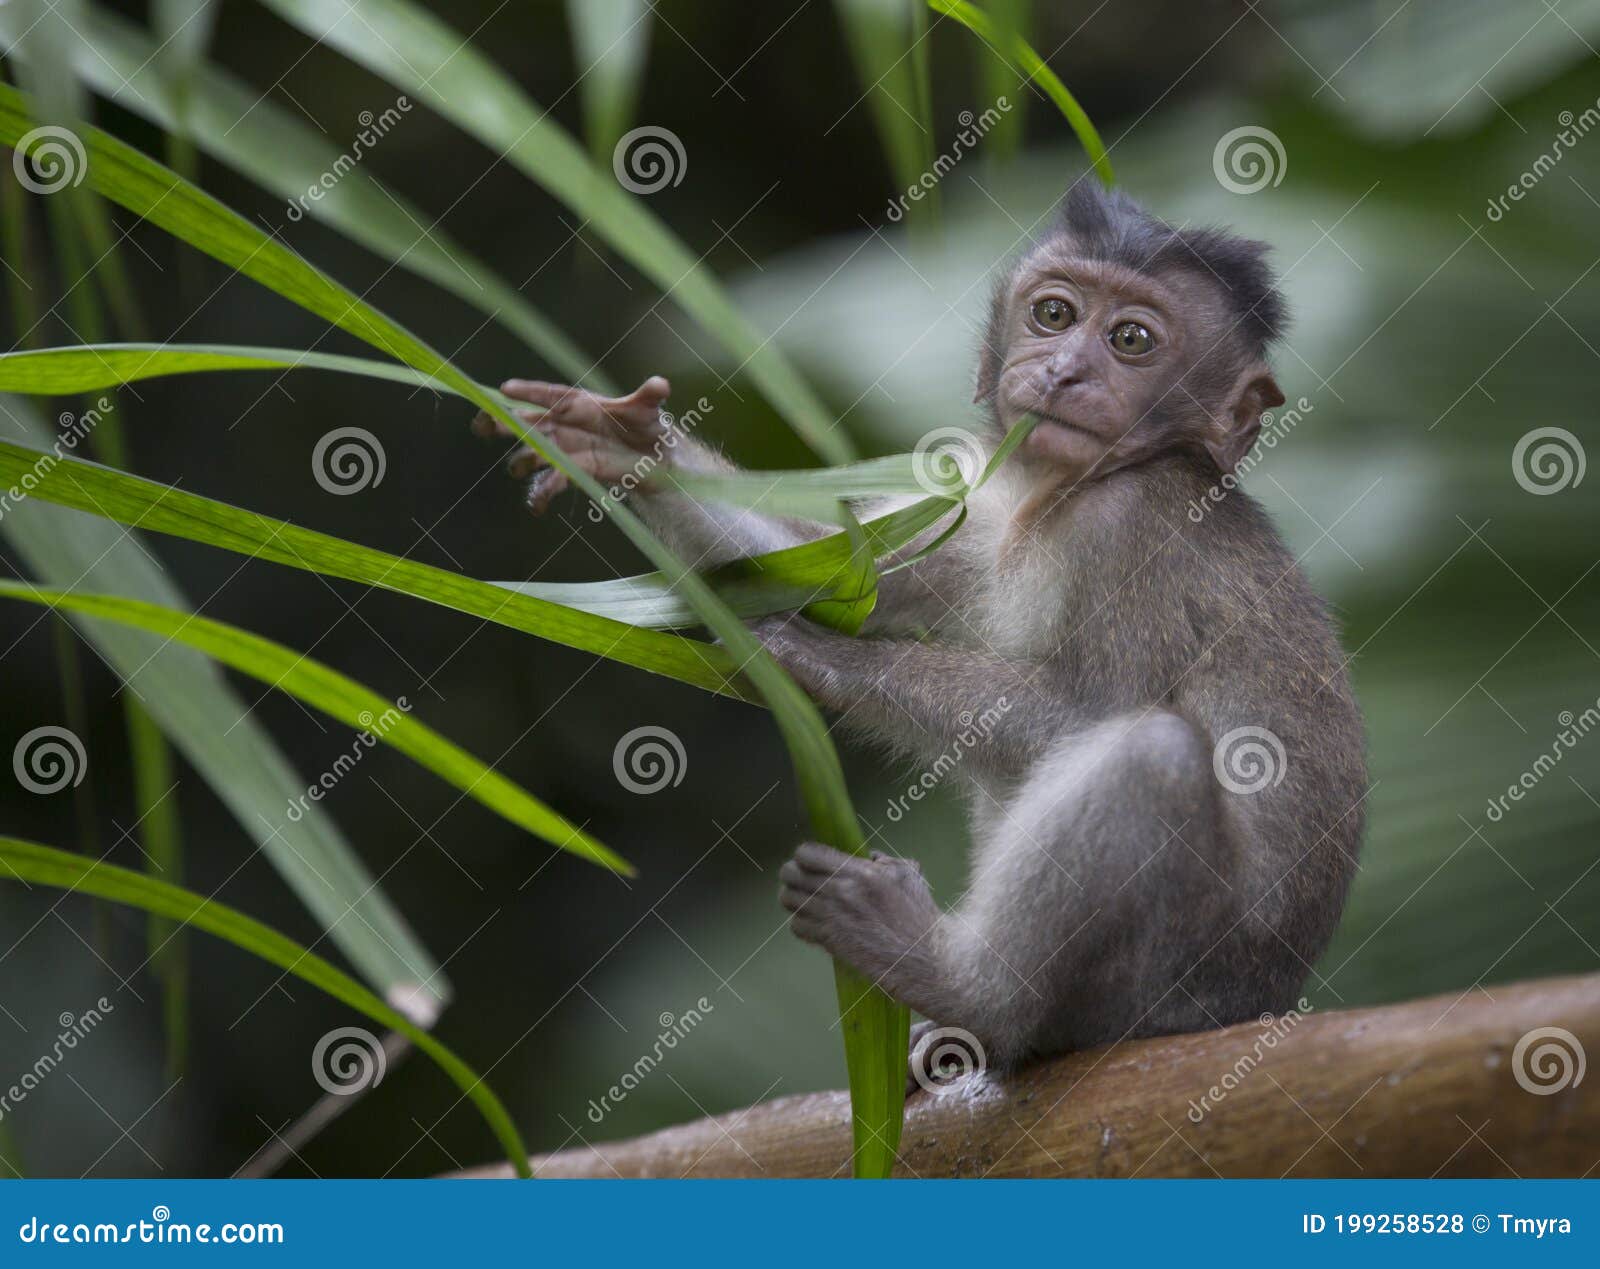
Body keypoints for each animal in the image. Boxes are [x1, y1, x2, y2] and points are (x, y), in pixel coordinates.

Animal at [473, 182, 1366, 1085]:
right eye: (1053, 313)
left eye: (1131, 340)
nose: (1064, 370)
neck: (1059, 497)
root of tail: (1259, 1002)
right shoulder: (981, 512)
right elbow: (829, 571)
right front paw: (622, 447)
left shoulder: (1135, 523)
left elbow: (1090, 708)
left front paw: (831, 661)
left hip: (1168, 983)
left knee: (1148, 753)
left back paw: (966, 988)